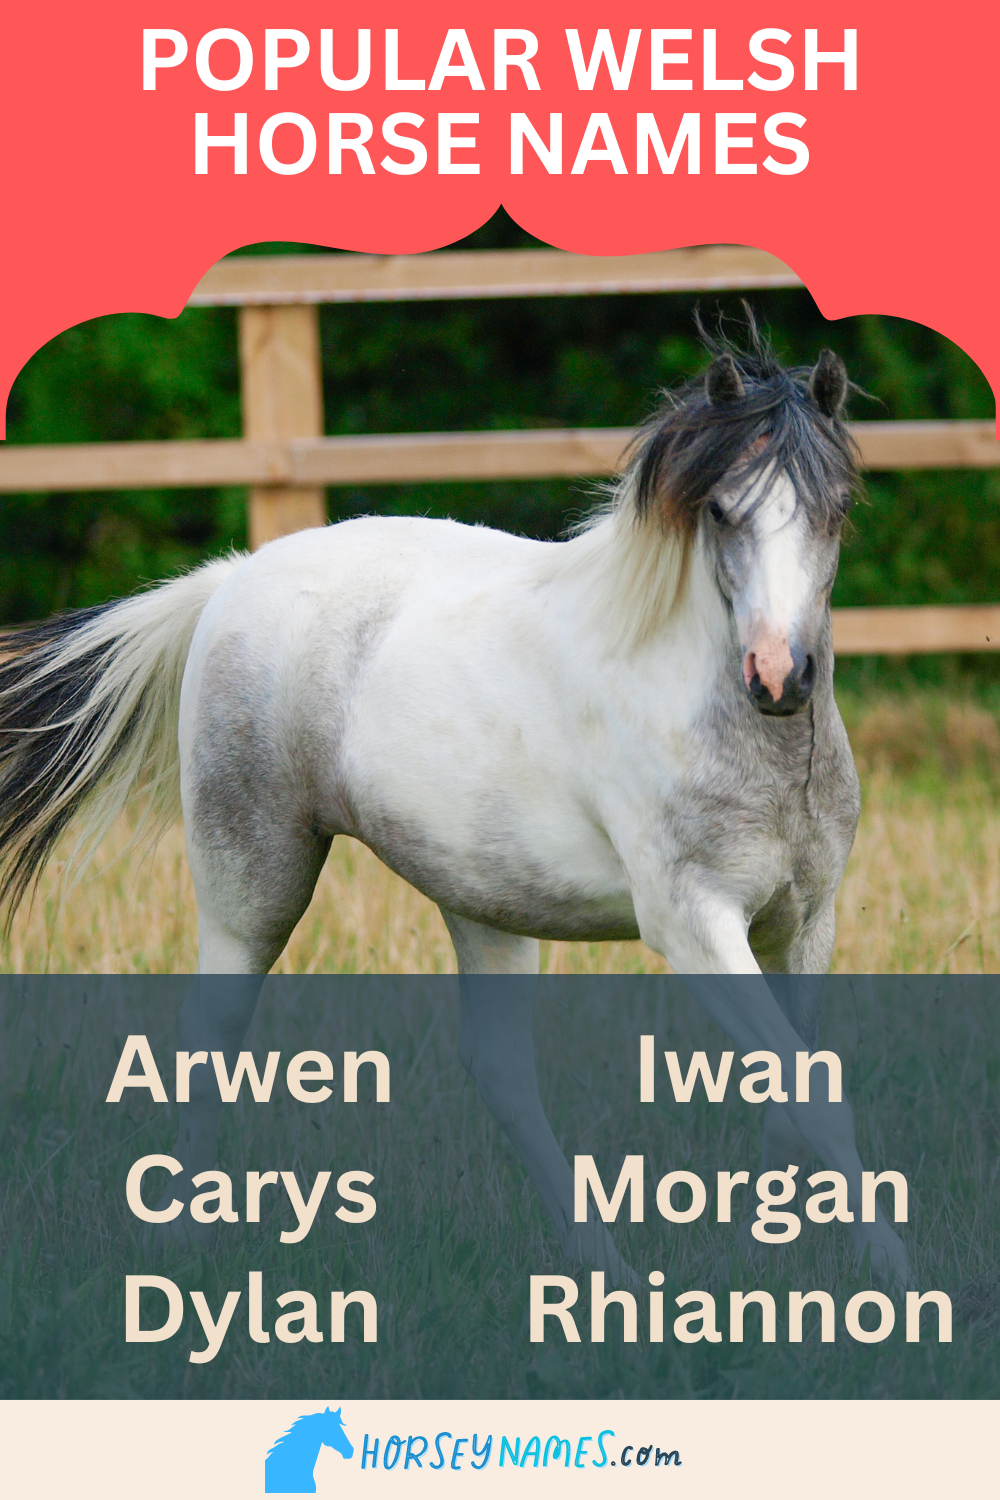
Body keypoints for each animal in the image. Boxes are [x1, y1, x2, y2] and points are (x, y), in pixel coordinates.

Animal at [0, 324, 909, 1289]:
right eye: (723, 511)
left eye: (838, 508)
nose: (780, 676)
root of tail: (232, 579)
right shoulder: (696, 924)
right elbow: (812, 1097)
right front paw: (895, 1274)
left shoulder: (804, 921)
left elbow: (793, 1092)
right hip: (252, 881)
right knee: (211, 1038)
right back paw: (182, 1244)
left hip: (483, 901)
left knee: (500, 1071)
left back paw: (604, 1268)